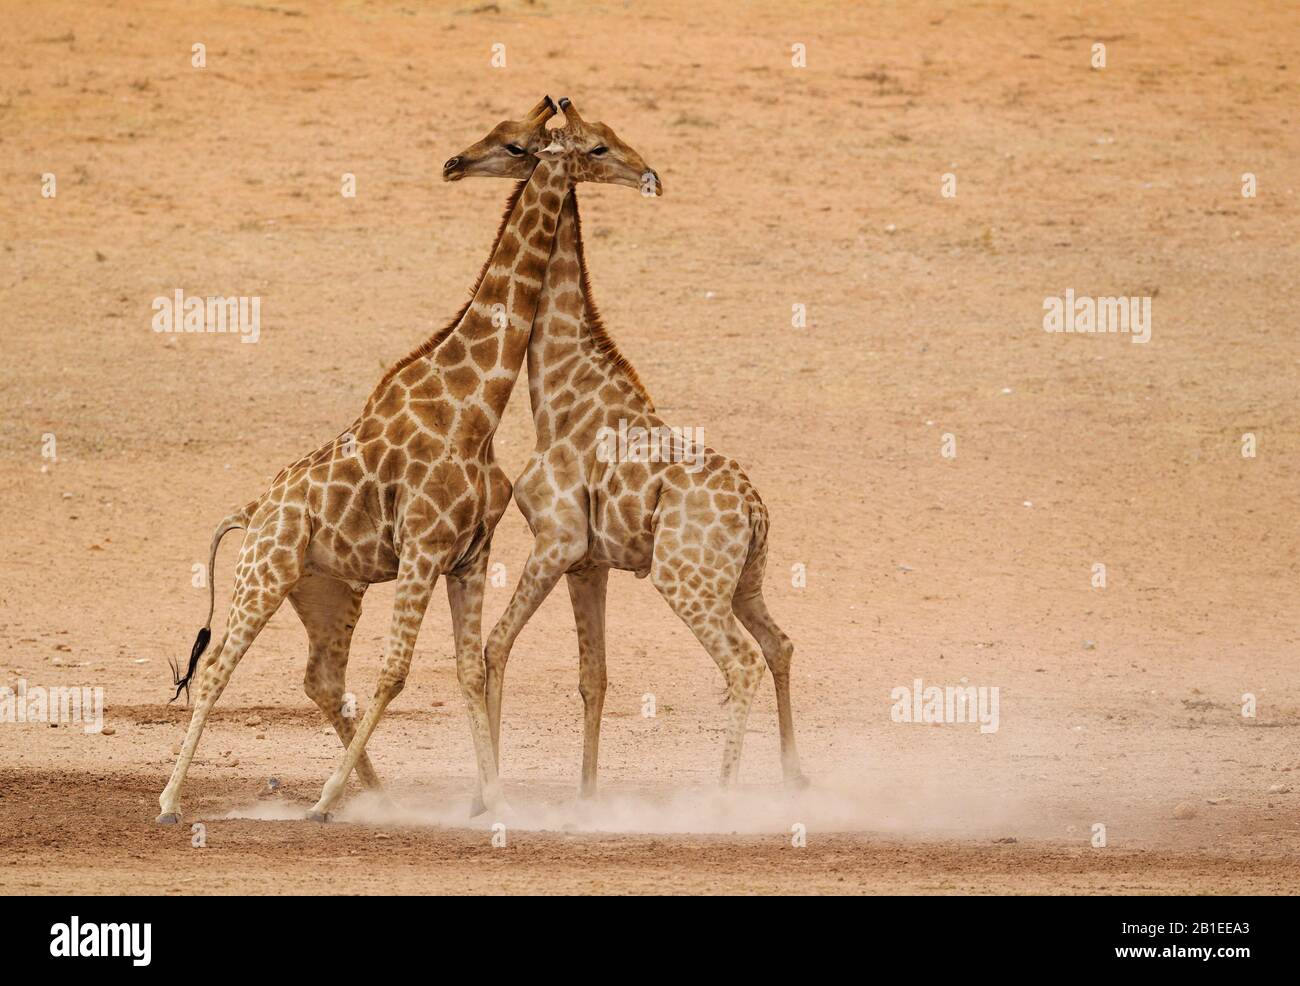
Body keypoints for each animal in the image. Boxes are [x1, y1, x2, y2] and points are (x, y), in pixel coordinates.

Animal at [157, 97, 574, 824]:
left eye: (516, 143)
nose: (453, 163)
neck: (475, 409)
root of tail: (252, 509)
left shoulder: (471, 554)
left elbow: (468, 669)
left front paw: (493, 800)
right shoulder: (424, 549)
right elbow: (398, 671)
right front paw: (325, 800)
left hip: (326, 590)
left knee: (322, 679)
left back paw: (372, 794)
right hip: (264, 573)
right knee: (217, 670)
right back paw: (172, 801)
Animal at [445, 97, 805, 797]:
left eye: (514, 143)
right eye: (603, 144)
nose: (453, 163)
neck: (557, 391)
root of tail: (755, 511)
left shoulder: (555, 540)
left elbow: (496, 645)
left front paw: (488, 789)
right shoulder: (591, 562)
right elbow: (594, 677)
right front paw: (585, 795)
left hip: (685, 580)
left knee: (742, 663)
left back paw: (724, 796)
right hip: (743, 582)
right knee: (779, 645)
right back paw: (795, 779)